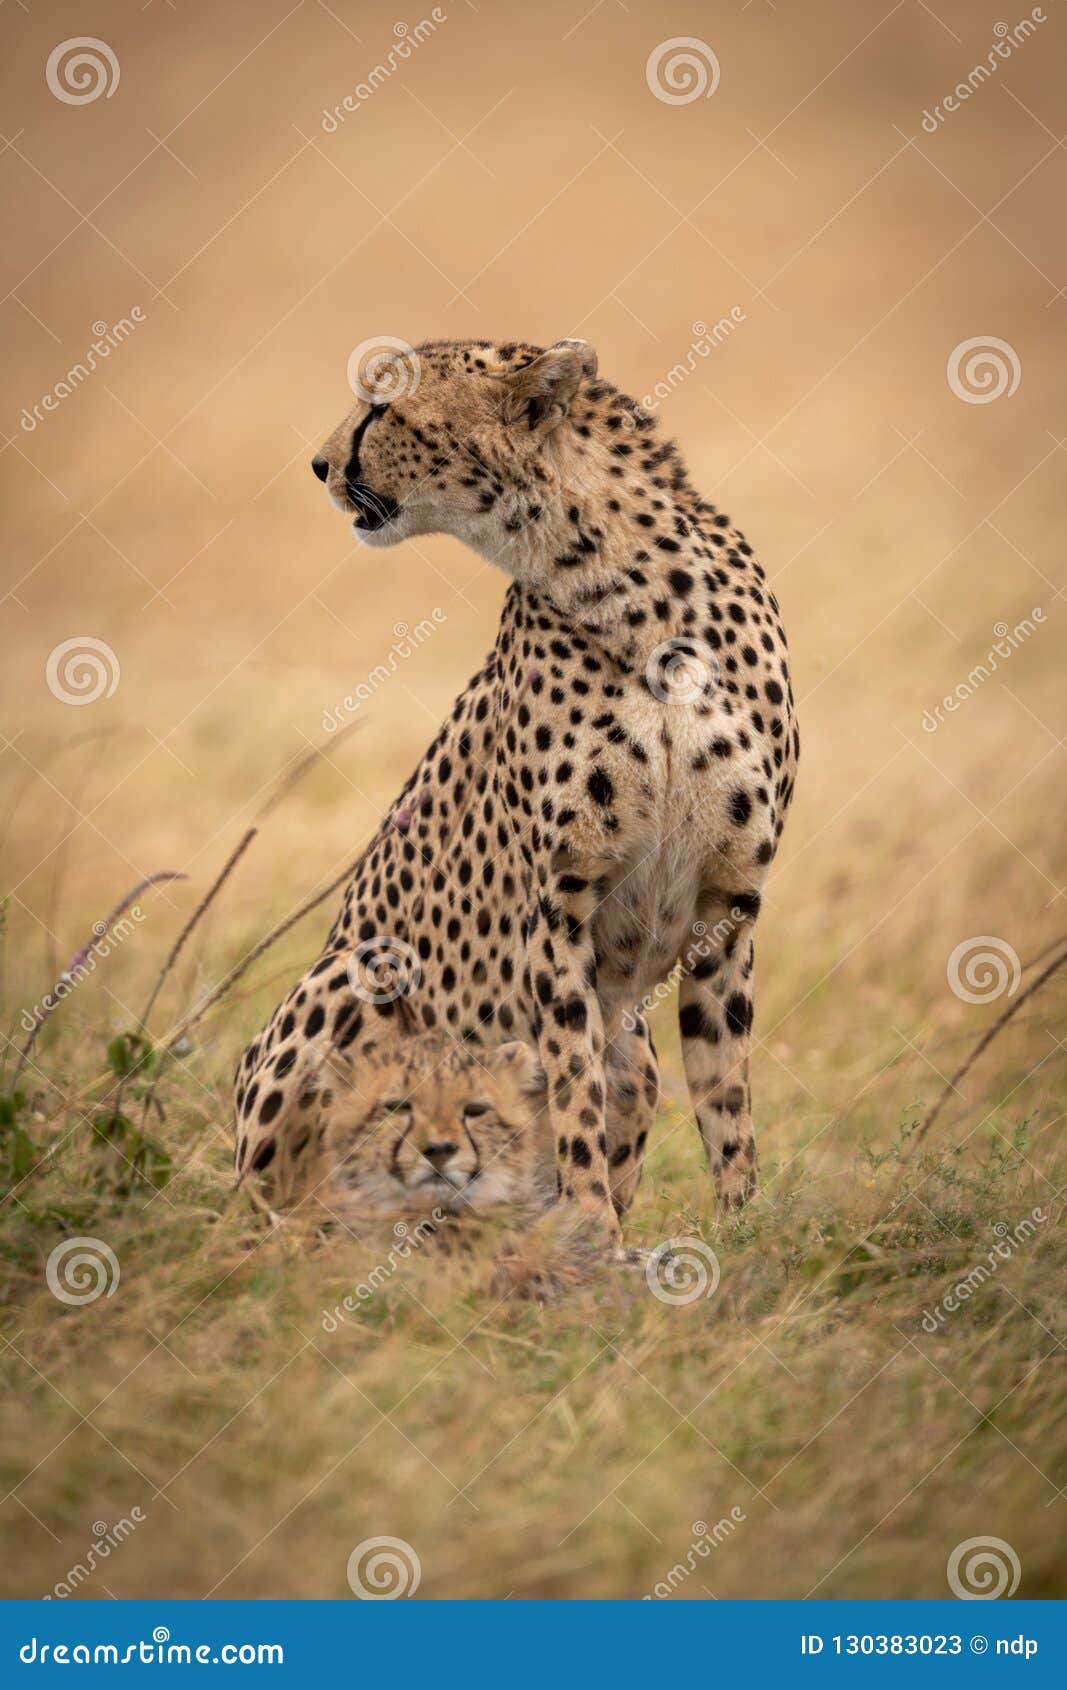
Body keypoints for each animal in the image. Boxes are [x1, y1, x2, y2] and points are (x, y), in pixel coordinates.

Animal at [233, 336, 799, 1246]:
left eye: (382, 408)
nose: (318, 463)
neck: (632, 590)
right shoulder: (557, 904)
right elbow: (569, 1080)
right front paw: (589, 1230)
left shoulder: (729, 903)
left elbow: (726, 1092)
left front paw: (745, 1230)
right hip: (355, 969)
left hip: (636, 1050)